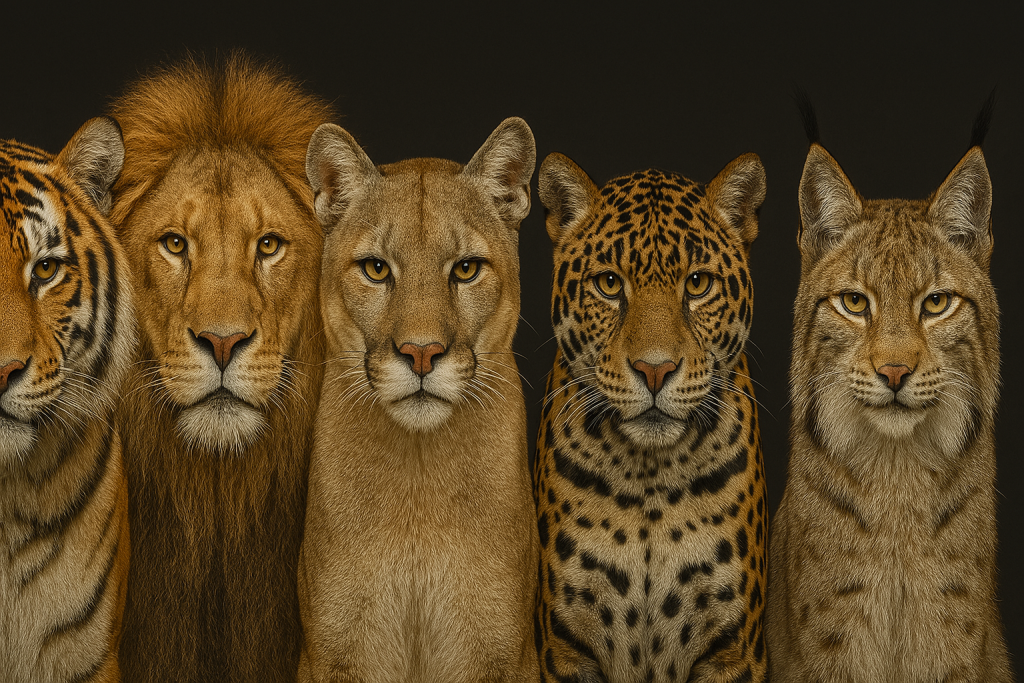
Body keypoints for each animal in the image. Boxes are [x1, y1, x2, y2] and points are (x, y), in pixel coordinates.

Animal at [297, 117, 540, 682]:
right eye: (376, 269)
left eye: (467, 269)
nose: (422, 352)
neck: (418, 471)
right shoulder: (332, 653)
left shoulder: (504, 655)